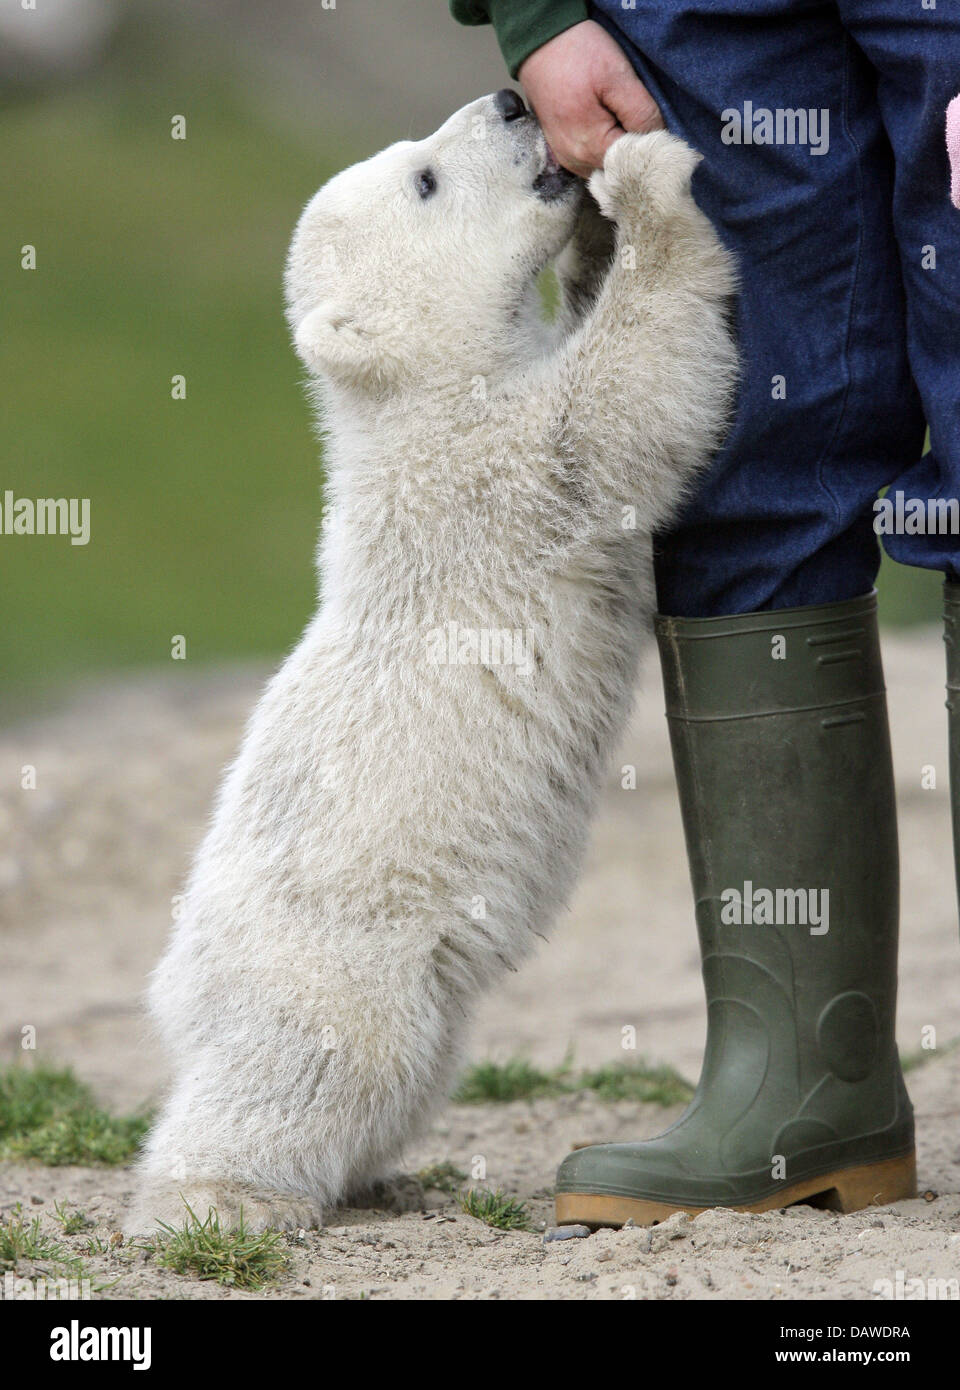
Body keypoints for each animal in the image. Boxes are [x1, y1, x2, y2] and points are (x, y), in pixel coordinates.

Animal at [126, 91, 737, 1234]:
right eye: (424, 179)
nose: (513, 98)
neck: (418, 402)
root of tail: (179, 992)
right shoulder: (501, 479)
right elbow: (625, 401)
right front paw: (645, 182)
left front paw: (596, 229)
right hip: (332, 965)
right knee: (310, 1071)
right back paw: (217, 1200)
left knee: (407, 1070)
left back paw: (377, 1175)